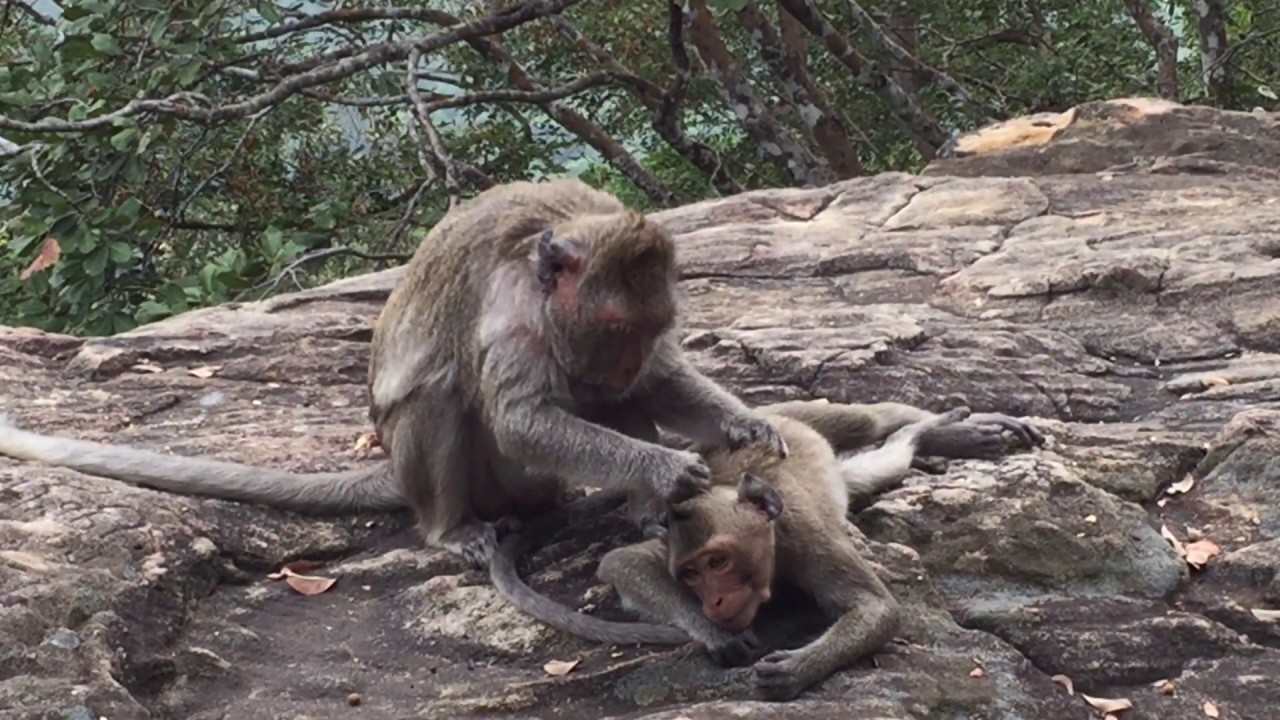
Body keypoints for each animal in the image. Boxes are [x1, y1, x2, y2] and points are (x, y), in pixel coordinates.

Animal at [0, 178, 788, 569]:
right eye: (618, 329)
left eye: (649, 331)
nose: (625, 359)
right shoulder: (511, 313)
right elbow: (521, 421)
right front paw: (665, 469)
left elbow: (655, 385)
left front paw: (745, 424)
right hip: (486, 479)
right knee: (437, 397)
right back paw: (451, 529)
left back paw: (640, 511)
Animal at [487, 399, 1044, 652]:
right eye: (690, 575)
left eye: (719, 562)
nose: (712, 602)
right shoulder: (670, 540)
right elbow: (622, 563)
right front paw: (713, 635)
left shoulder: (810, 541)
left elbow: (877, 608)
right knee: (871, 464)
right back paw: (927, 435)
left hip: (782, 415)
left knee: (867, 420)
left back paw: (947, 427)